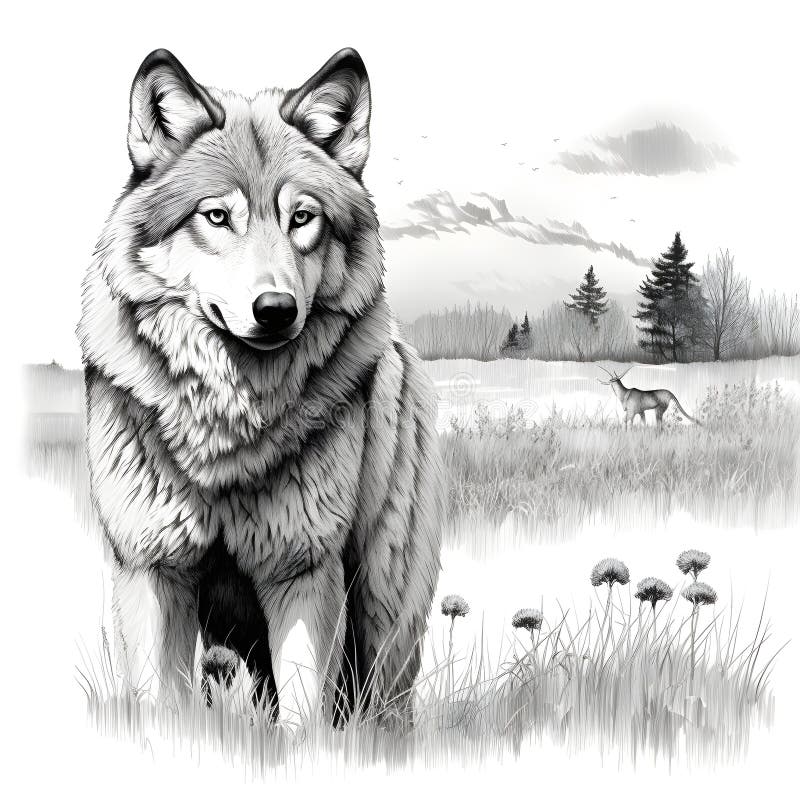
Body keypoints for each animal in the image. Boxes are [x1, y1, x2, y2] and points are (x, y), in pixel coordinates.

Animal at [77, 47, 443, 721]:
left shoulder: (303, 570)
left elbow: (307, 717)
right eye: (217, 217)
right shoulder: (152, 569)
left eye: (302, 218)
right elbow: (160, 707)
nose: (275, 309)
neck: (228, 429)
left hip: (384, 616)